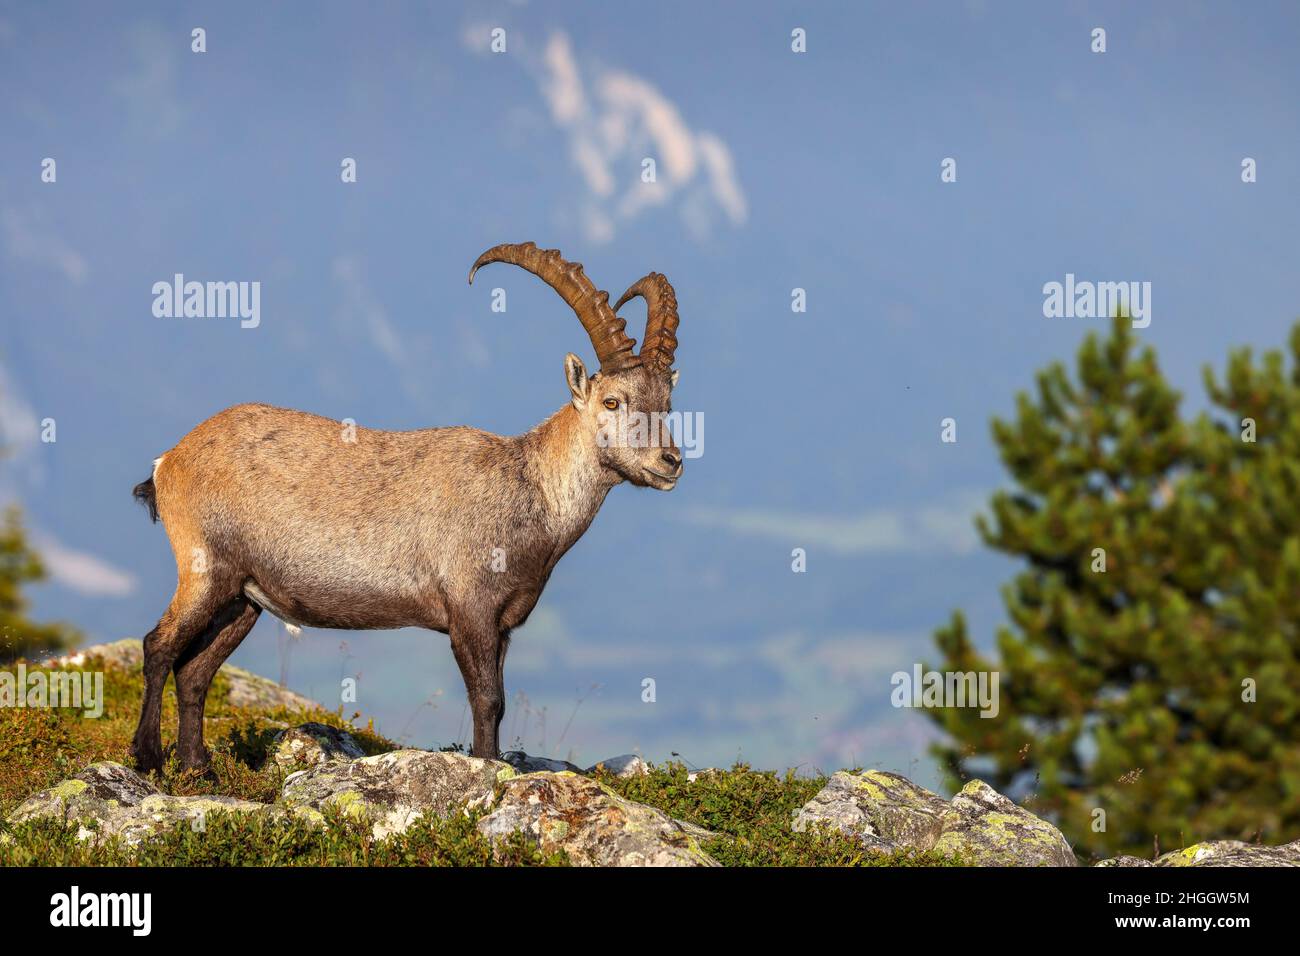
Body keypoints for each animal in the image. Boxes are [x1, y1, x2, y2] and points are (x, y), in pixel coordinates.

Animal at [129, 242, 683, 774]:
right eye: (611, 401)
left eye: (667, 404)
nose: (671, 461)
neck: (527, 487)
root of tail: (169, 460)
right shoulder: (469, 612)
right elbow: (488, 700)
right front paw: (487, 772)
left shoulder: (502, 624)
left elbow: (498, 702)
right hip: (203, 567)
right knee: (159, 645)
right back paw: (148, 756)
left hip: (243, 596)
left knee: (195, 670)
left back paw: (198, 768)